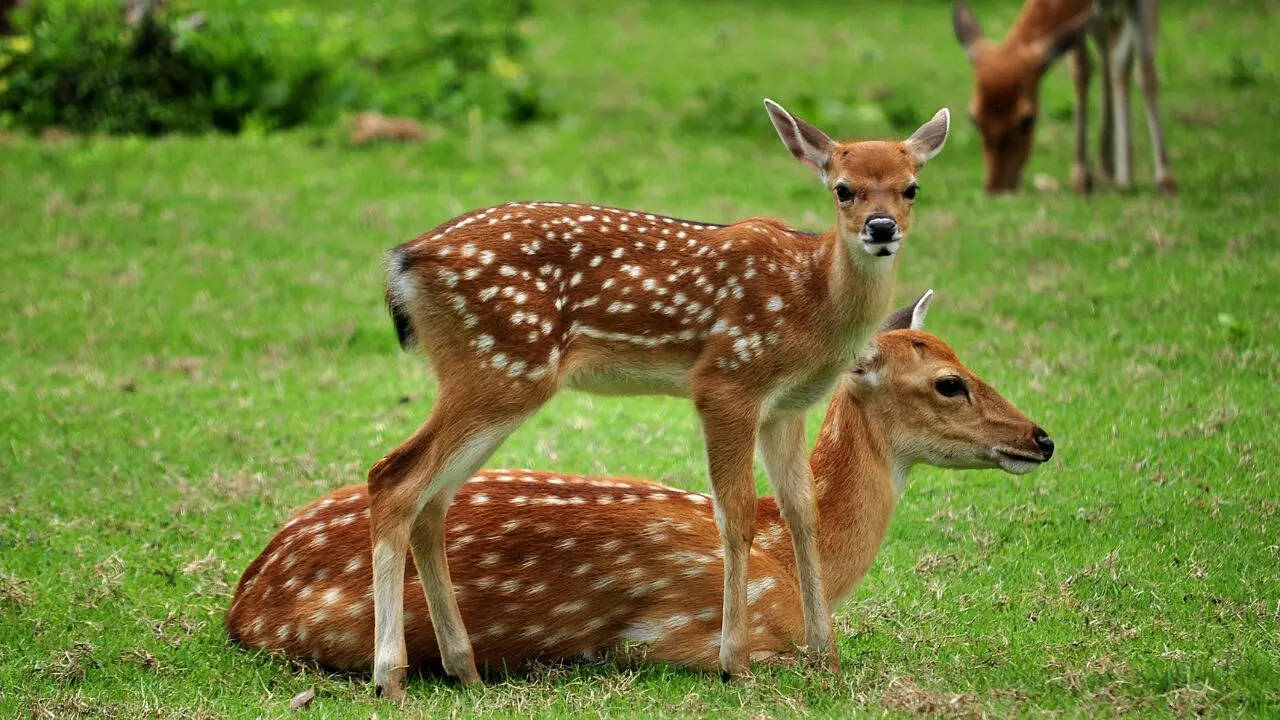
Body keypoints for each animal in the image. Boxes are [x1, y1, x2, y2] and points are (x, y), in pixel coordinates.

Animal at [228, 292, 1055, 677]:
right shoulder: (696, 635)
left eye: (964, 358)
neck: (789, 560)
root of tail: (242, 601)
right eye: (949, 383)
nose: (1041, 438)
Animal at [364, 97, 951, 696]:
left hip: (490, 373)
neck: (812, 302)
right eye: (842, 189)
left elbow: (800, 512)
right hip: (499, 365)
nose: (881, 228)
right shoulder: (727, 380)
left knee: (432, 500)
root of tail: (403, 263)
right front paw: (734, 663)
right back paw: (389, 676)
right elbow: (736, 513)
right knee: (394, 476)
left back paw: (464, 668)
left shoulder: (785, 407)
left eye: (911, 187)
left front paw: (825, 658)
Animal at [952, 0, 1176, 194]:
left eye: (1027, 120)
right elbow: (1080, 70)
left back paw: (1123, 175)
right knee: (1107, 56)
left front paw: (1165, 179)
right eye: (973, 117)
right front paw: (1080, 177)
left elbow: (1147, 73)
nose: (997, 189)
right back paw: (1108, 166)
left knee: (1120, 62)